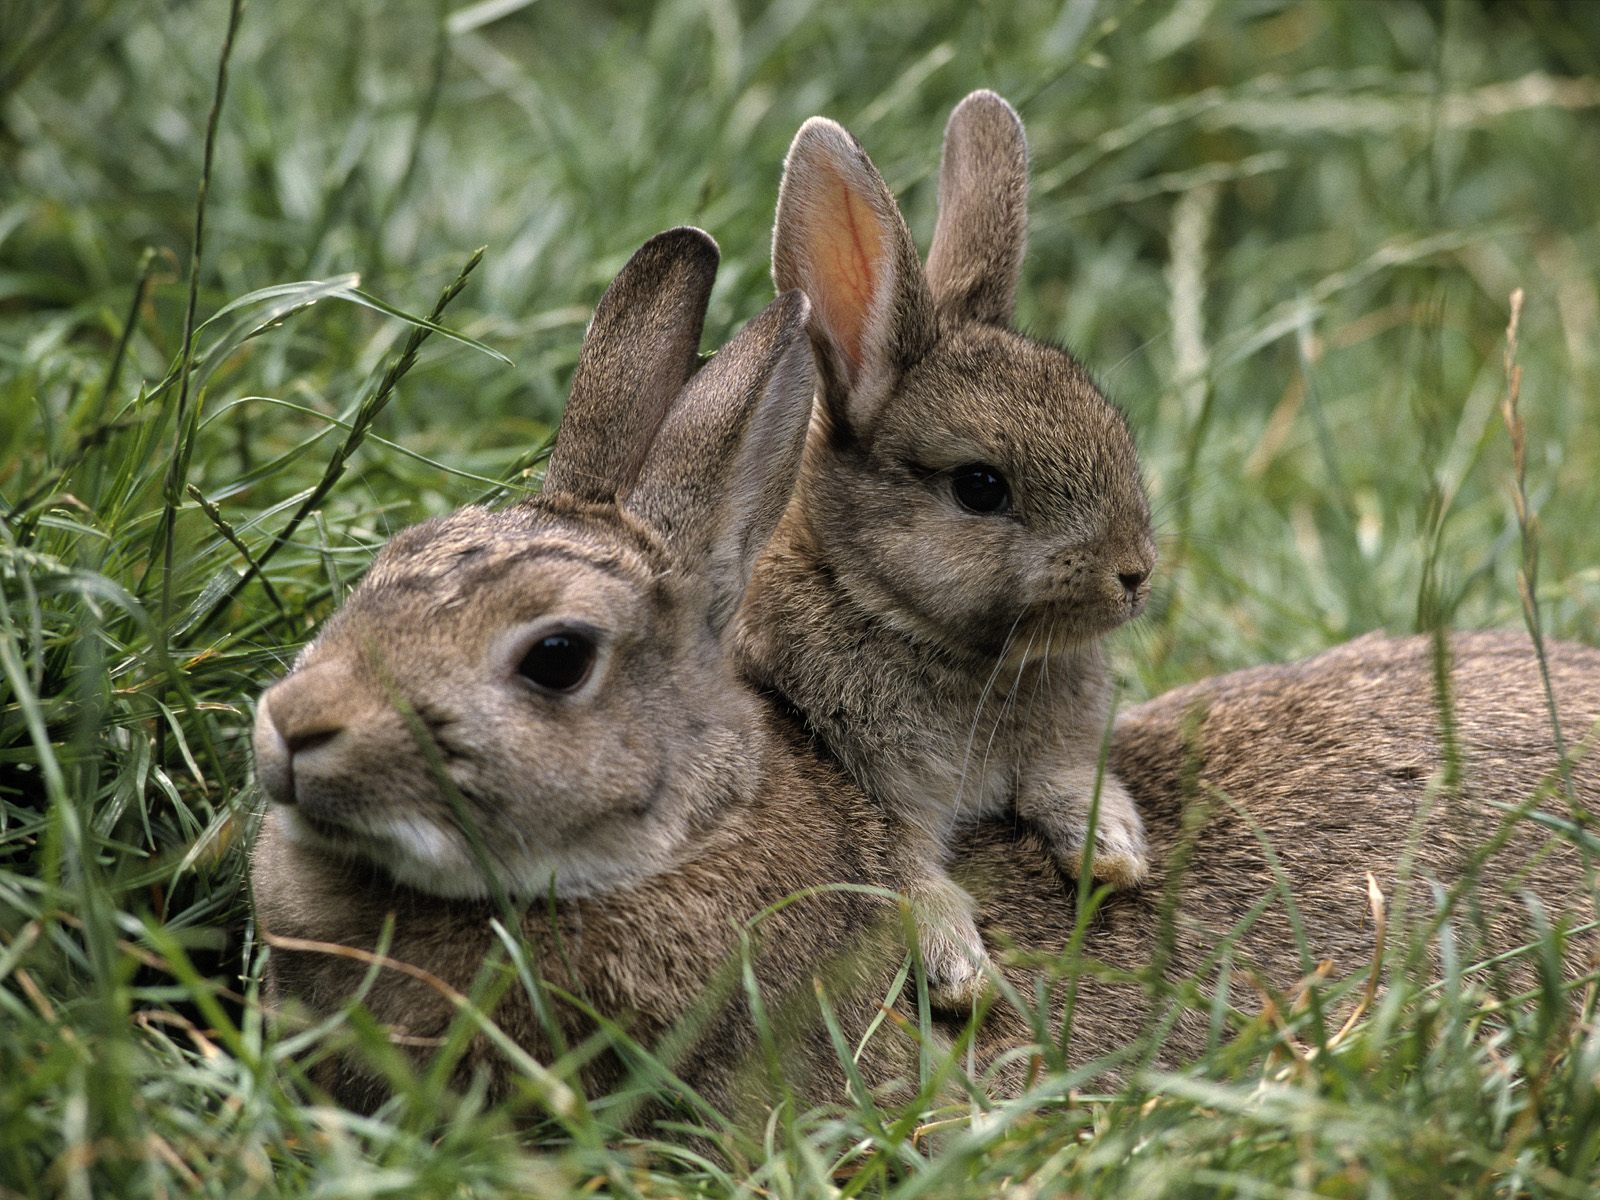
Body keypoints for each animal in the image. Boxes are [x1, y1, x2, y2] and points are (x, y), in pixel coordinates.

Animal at [735, 90, 1157, 1006]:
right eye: (980, 487)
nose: (1135, 574)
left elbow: (1066, 780)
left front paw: (1113, 851)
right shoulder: (867, 788)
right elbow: (901, 871)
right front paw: (962, 971)